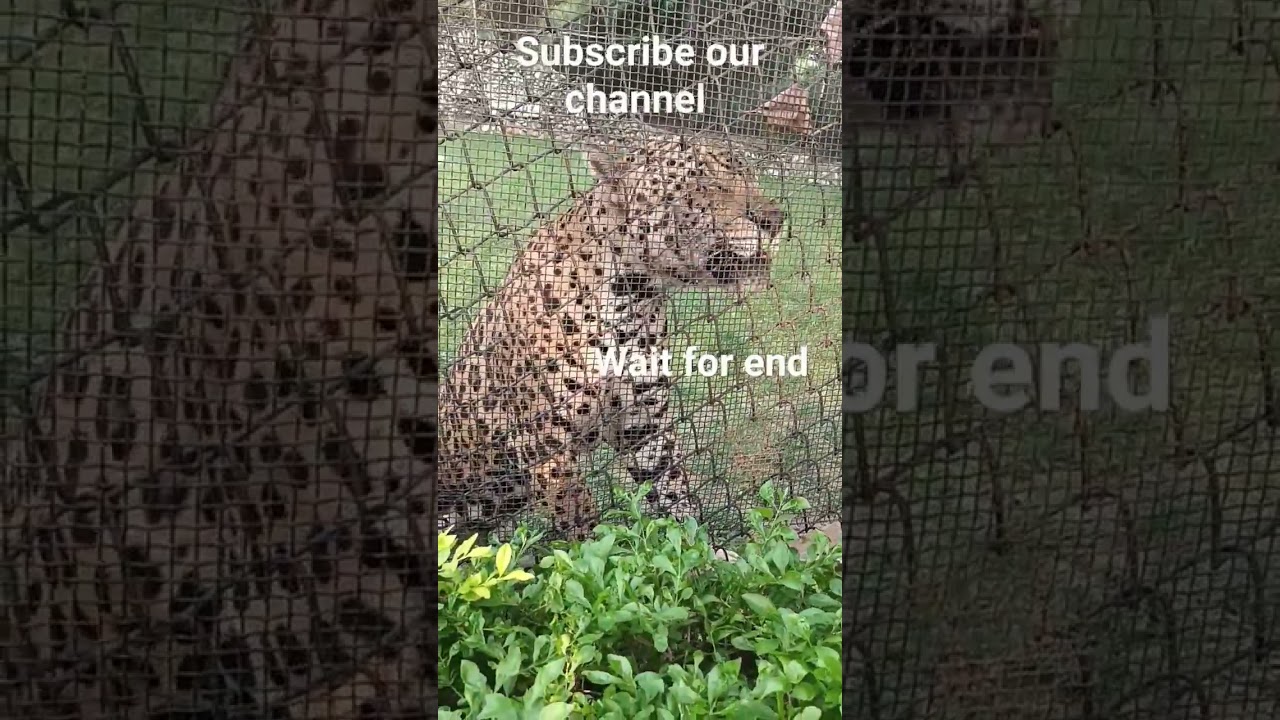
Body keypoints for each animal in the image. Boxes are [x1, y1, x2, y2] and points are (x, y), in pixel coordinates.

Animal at [438, 137, 786, 543]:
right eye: (701, 187)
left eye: (747, 173)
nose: (776, 219)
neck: (632, 299)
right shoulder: (546, 446)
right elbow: (581, 521)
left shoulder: (643, 423)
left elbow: (673, 489)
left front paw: (695, 550)